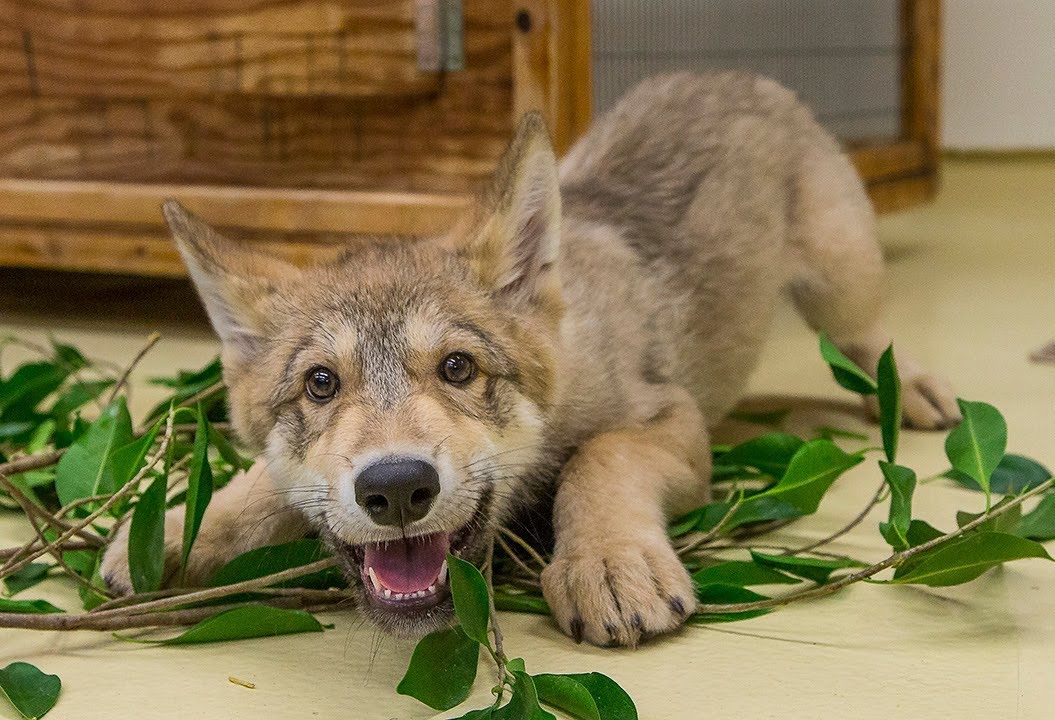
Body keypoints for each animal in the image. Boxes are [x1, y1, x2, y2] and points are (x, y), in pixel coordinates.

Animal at [102, 72, 959, 646]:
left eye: (457, 369)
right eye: (319, 384)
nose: (397, 488)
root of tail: (734, 74)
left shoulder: (668, 419)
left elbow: (599, 460)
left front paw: (608, 559)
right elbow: (260, 488)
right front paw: (174, 528)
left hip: (841, 280)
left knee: (871, 338)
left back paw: (912, 389)